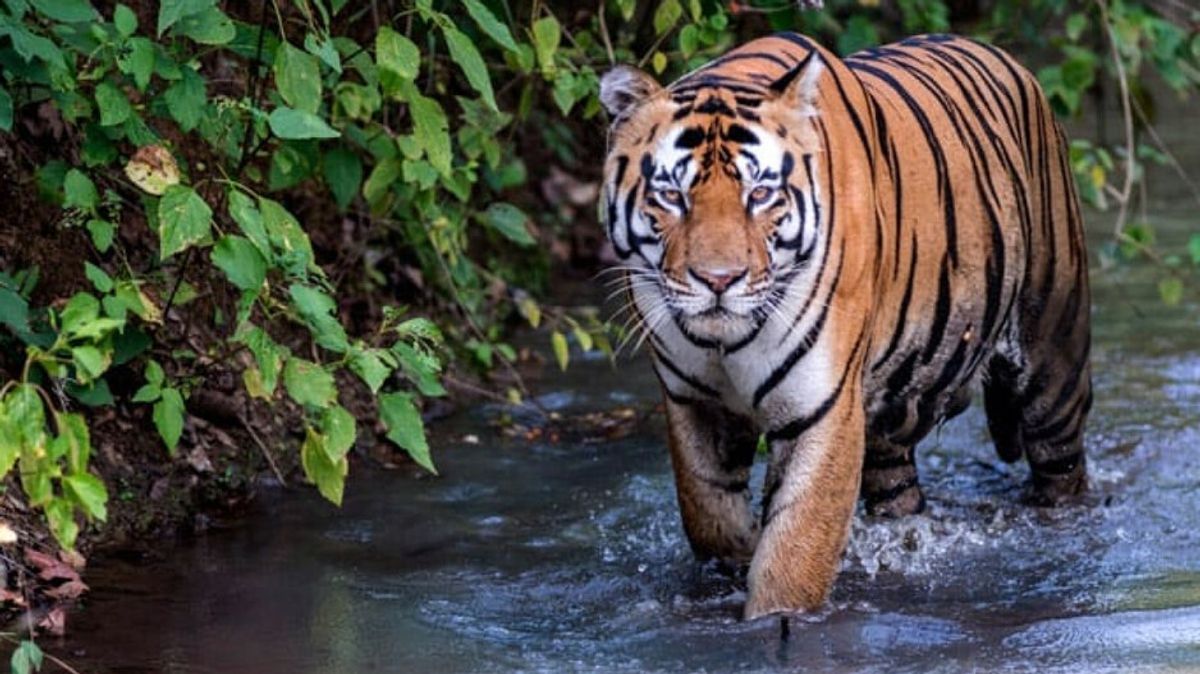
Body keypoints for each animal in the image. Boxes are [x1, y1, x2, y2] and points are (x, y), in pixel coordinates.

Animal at [598, 32, 1092, 619]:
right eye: (672, 196)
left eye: (759, 194)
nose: (719, 280)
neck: (725, 340)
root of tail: (1005, 58)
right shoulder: (693, 401)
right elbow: (709, 514)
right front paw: (736, 559)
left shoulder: (822, 406)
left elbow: (794, 549)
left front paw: (773, 614)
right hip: (893, 413)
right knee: (897, 488)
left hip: (1052, 358)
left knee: (1061, 468)